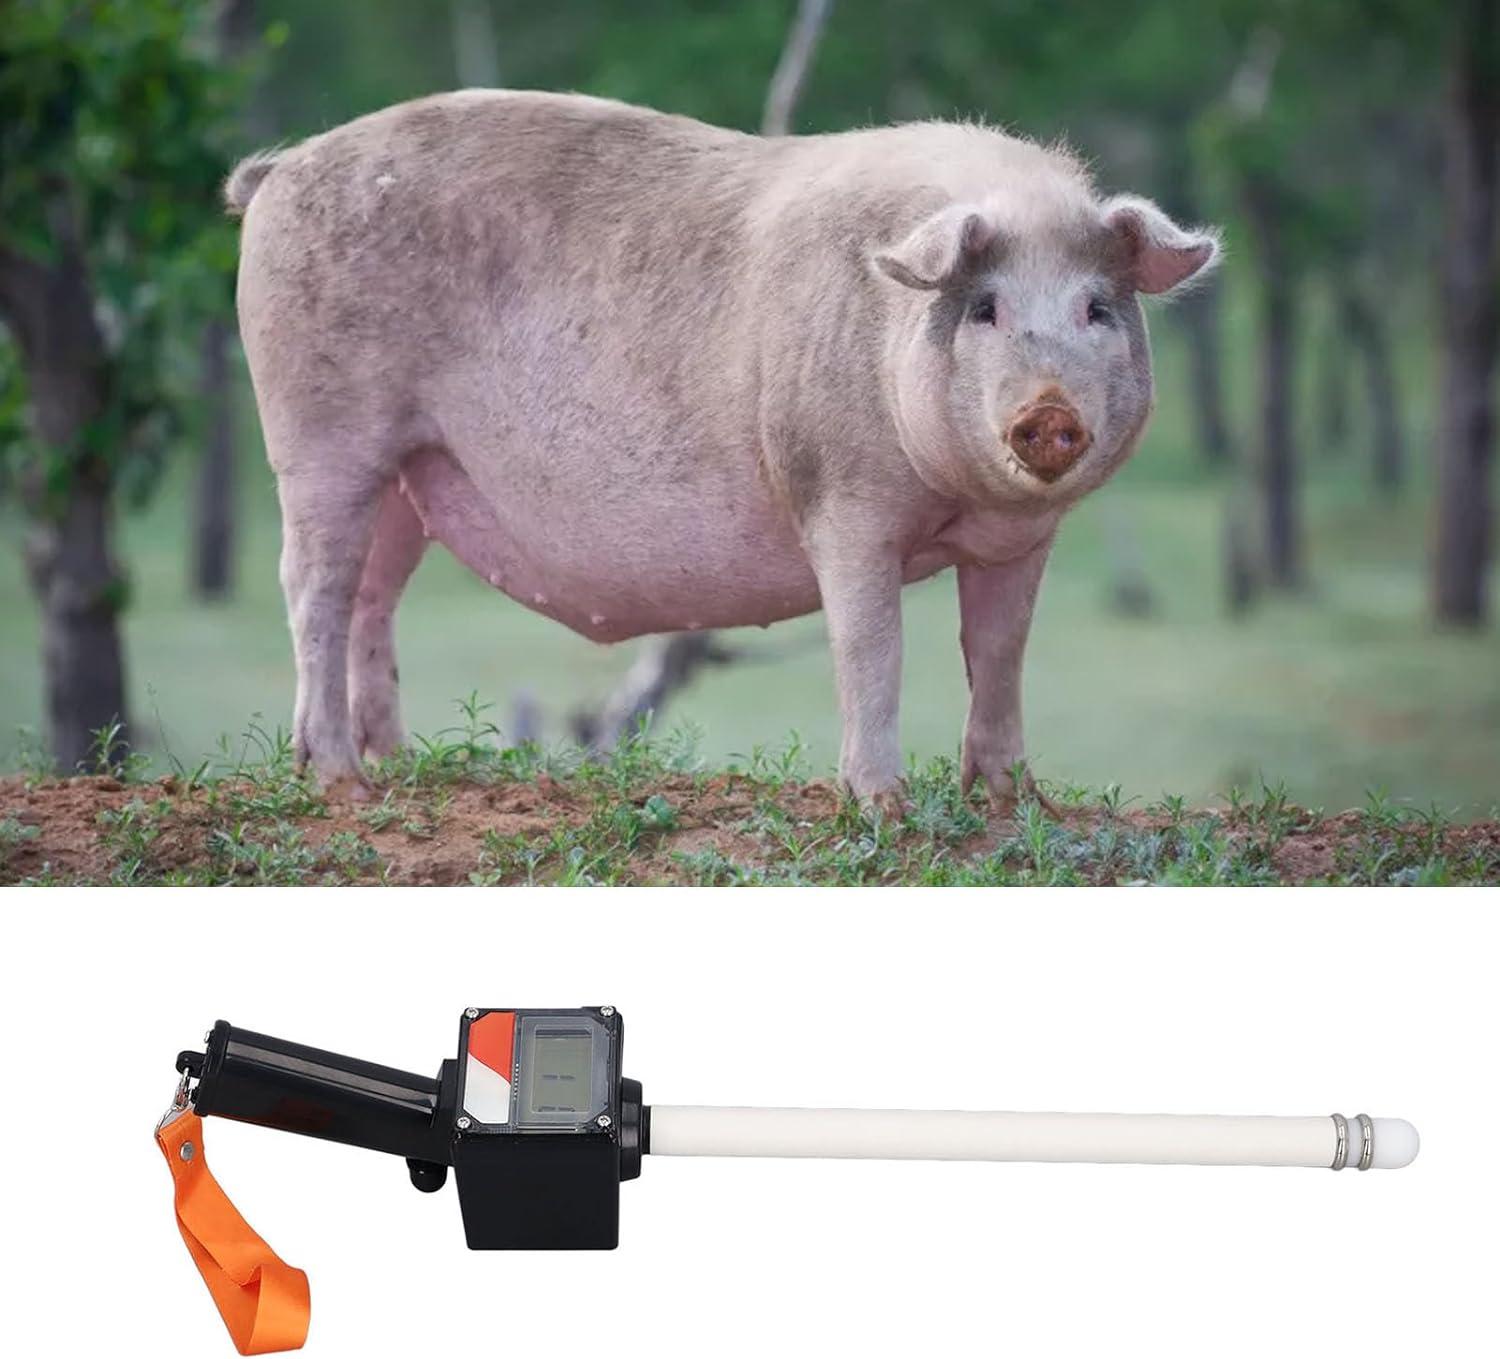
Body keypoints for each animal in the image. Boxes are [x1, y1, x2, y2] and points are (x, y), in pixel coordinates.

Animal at [227, 91, 1217, 811]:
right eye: (984, 308)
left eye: (1096, 308)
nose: (1048, 414)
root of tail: (281, 170)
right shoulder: (840, 500)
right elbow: (873, 647)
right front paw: (885, 807)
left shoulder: (1022, 540)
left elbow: (1001, 650)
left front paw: (1014, 803)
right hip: (321, 431)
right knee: (311, 586)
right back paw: (341, 782)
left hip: (411, 469)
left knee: (374, 596)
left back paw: (401, 769)